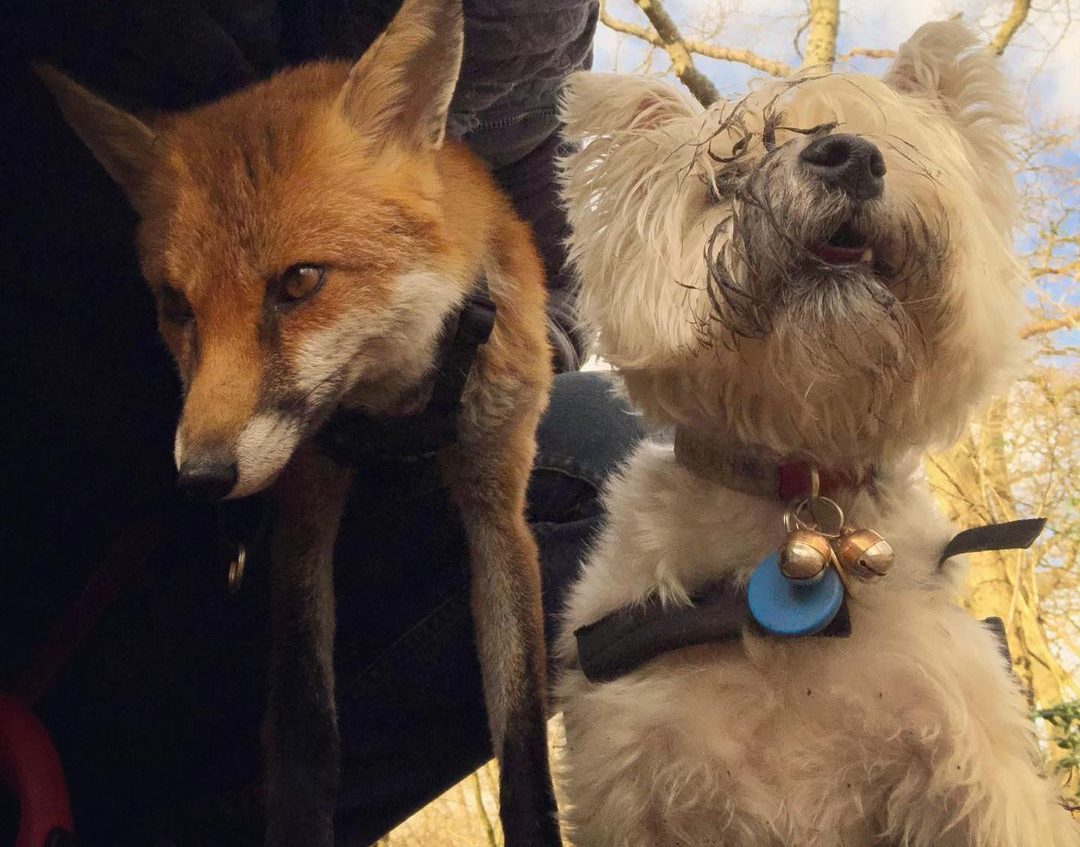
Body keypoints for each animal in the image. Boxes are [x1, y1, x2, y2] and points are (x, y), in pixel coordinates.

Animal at [36, 0, 561, 845]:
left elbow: (521, 747)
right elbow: (304, 726)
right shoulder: (304, 503)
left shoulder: (498, 497)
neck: (392, 403)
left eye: (301, 282)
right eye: (178, 308)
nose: (201, 478)